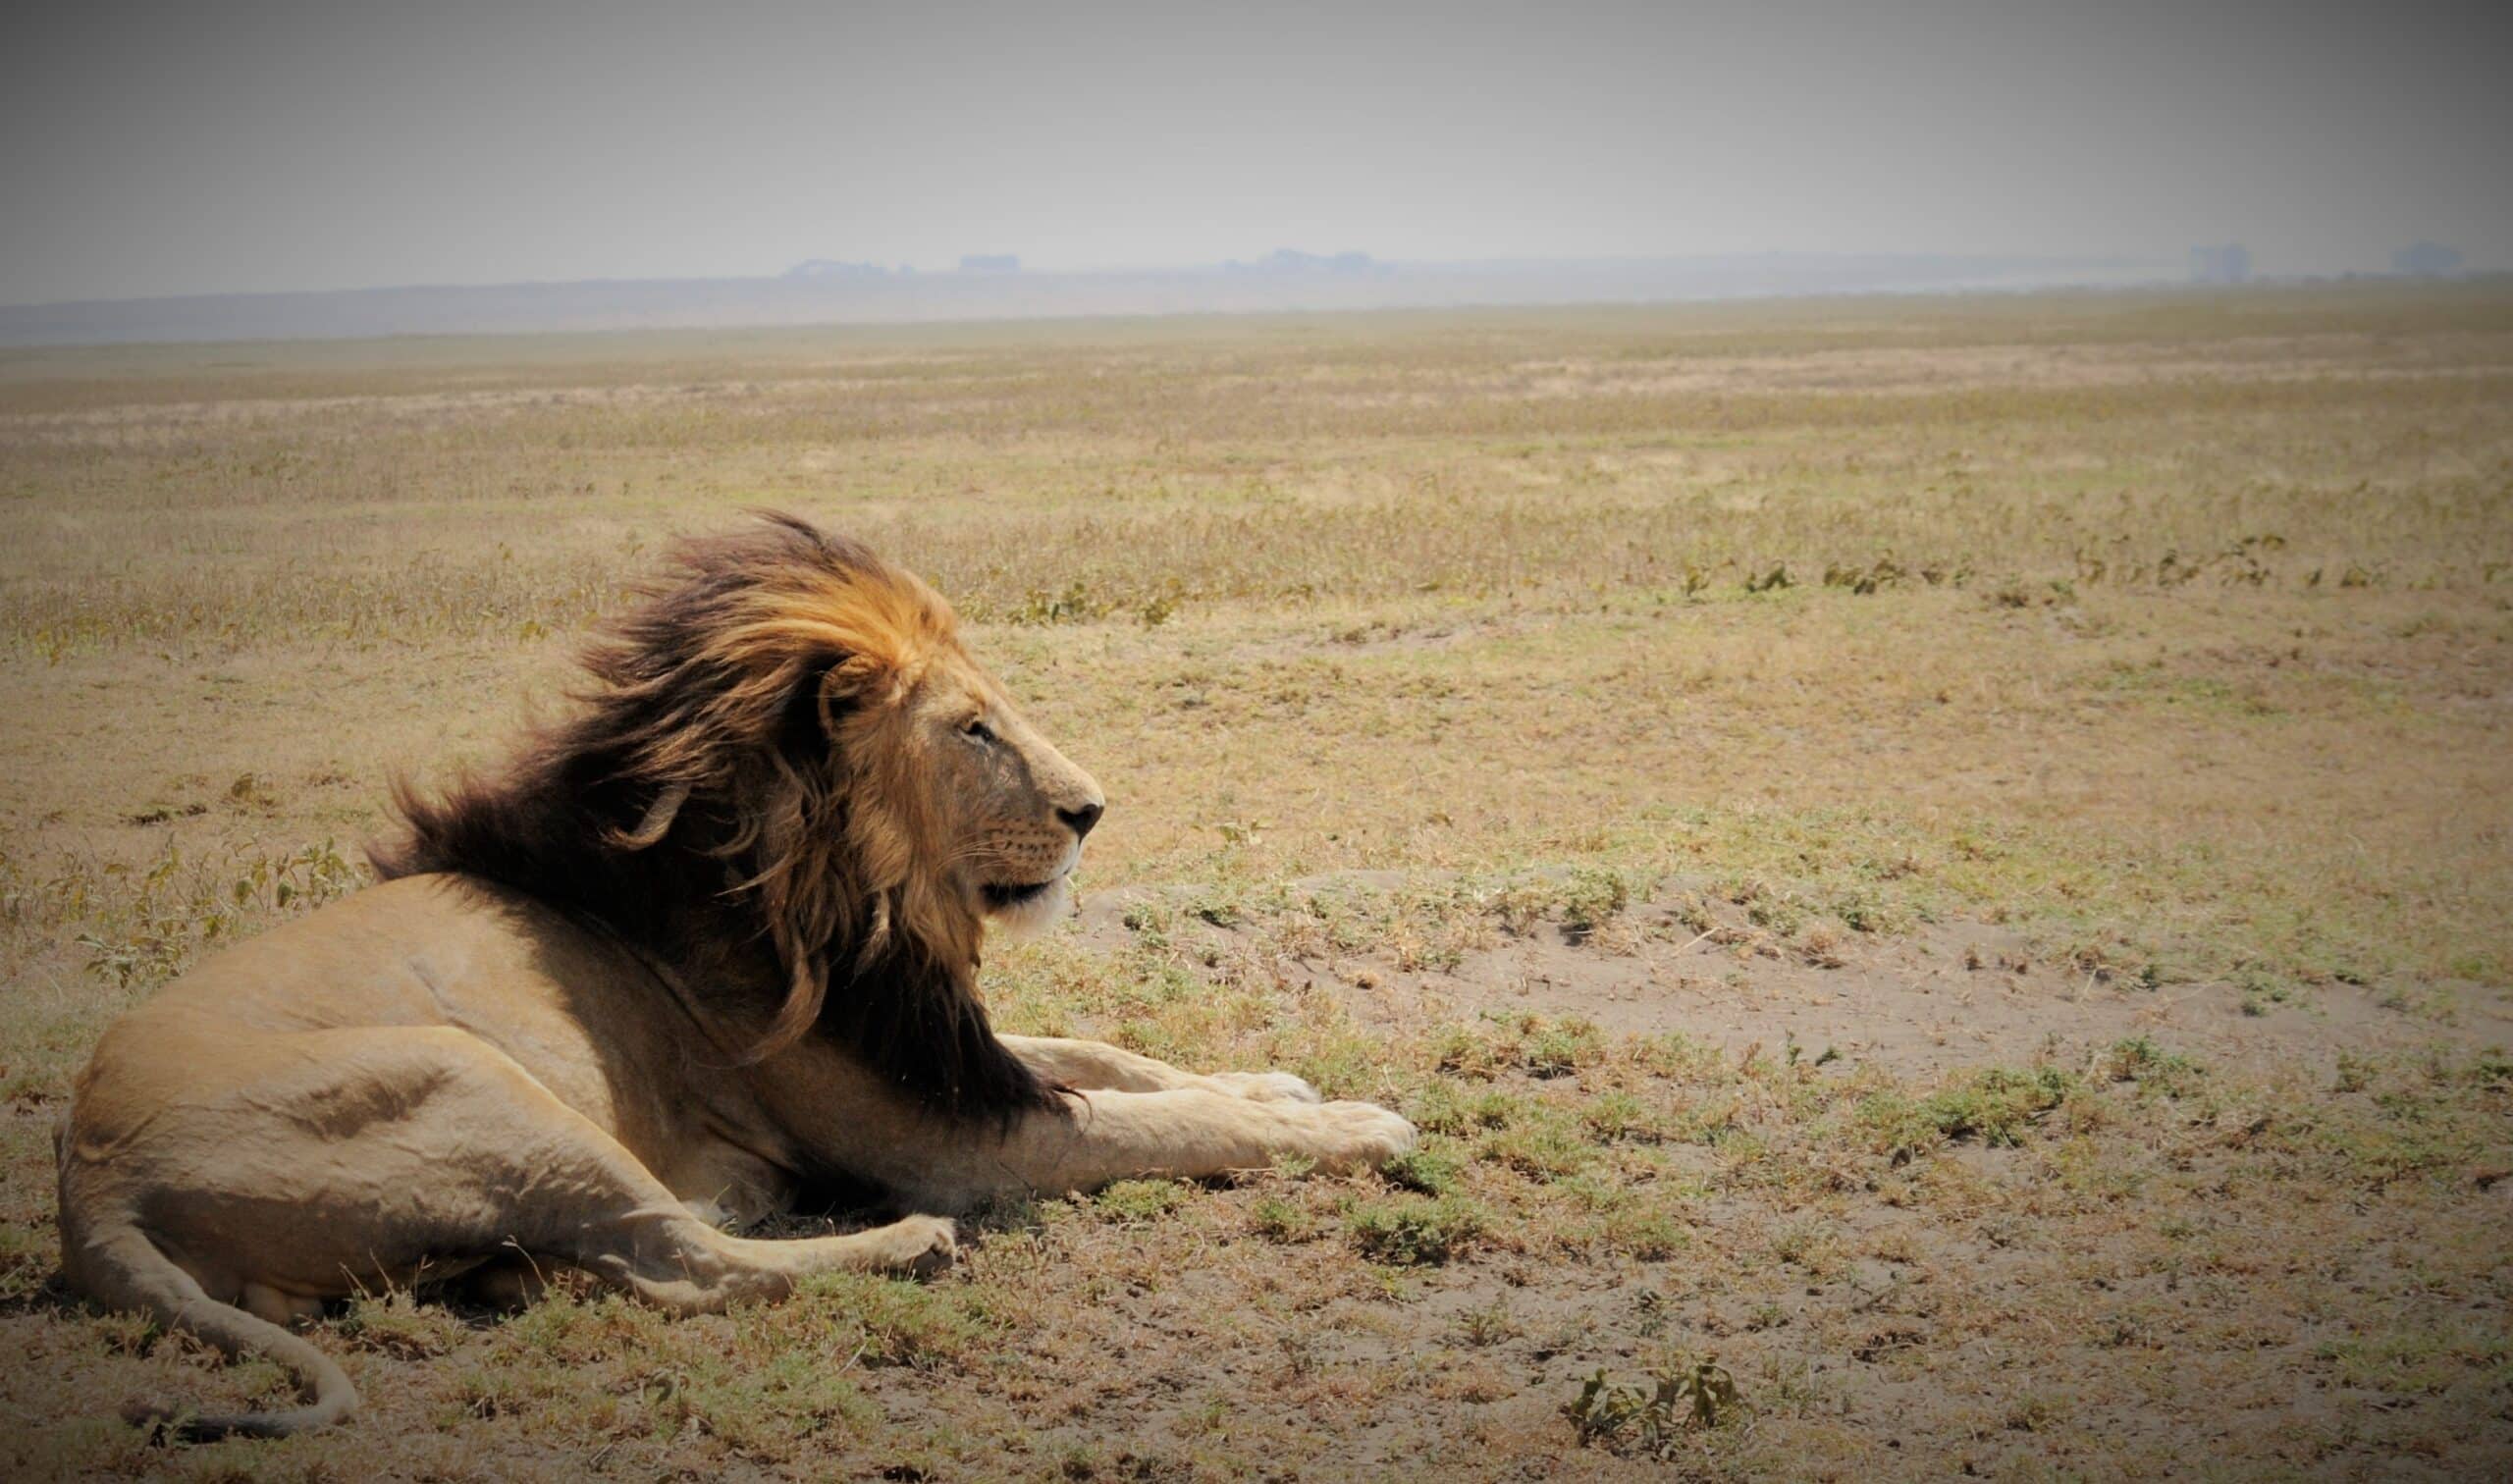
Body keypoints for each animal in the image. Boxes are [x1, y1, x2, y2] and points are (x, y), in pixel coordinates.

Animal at [54, 513, 1416, 1438]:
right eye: (973, 729)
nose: (1091, 811)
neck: (839, 899)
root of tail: (91, 1187)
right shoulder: (946, 1136)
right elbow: (1160, 1121)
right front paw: (1358, 1126)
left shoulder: (926, 1045)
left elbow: (1111, 1055)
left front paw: (1282, 1085)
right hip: (465, 1074)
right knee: (682, 1266)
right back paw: (899, 1244)